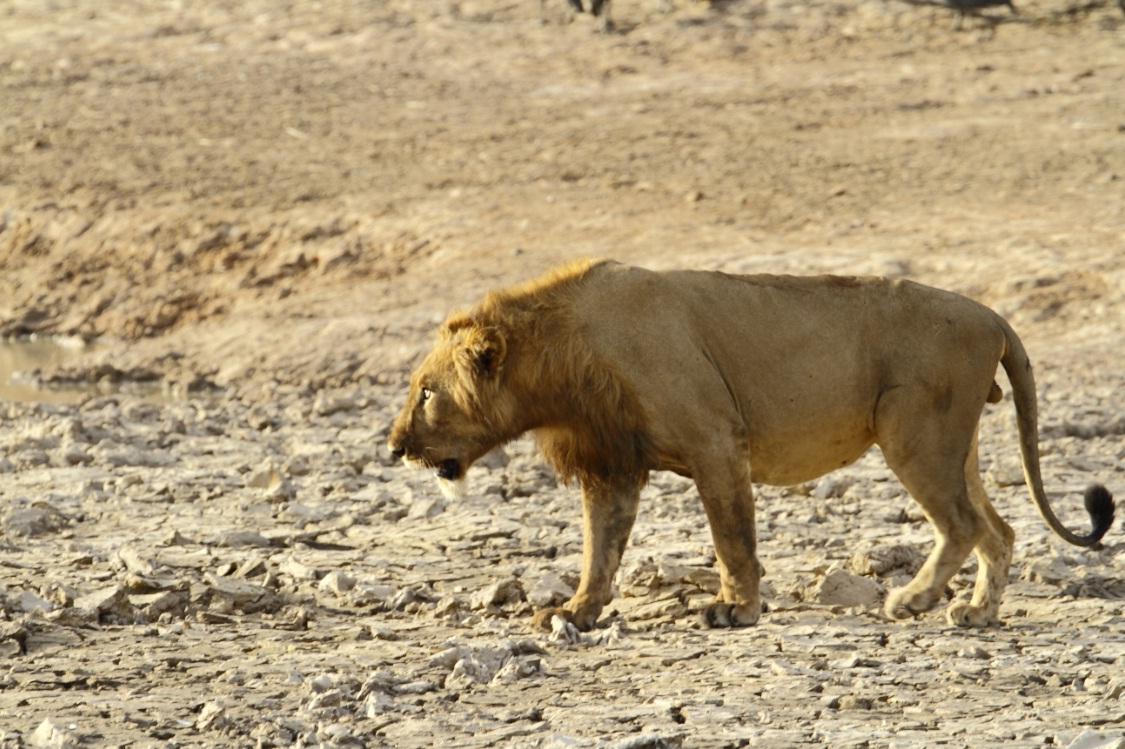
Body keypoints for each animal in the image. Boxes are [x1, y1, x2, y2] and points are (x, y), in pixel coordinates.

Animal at [388, 260, 1115, 630]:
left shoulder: (714, 439)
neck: (557, 362)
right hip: (954, 446)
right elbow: (600, 548)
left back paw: (914, 600)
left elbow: (731, 537)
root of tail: (991, 315)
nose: (394, 448)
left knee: (962, 525)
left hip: (913, 434)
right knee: (999, 530)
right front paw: (576, 611)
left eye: (425, 393)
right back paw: (977, 610)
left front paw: (736, 608)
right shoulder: (610, 464)